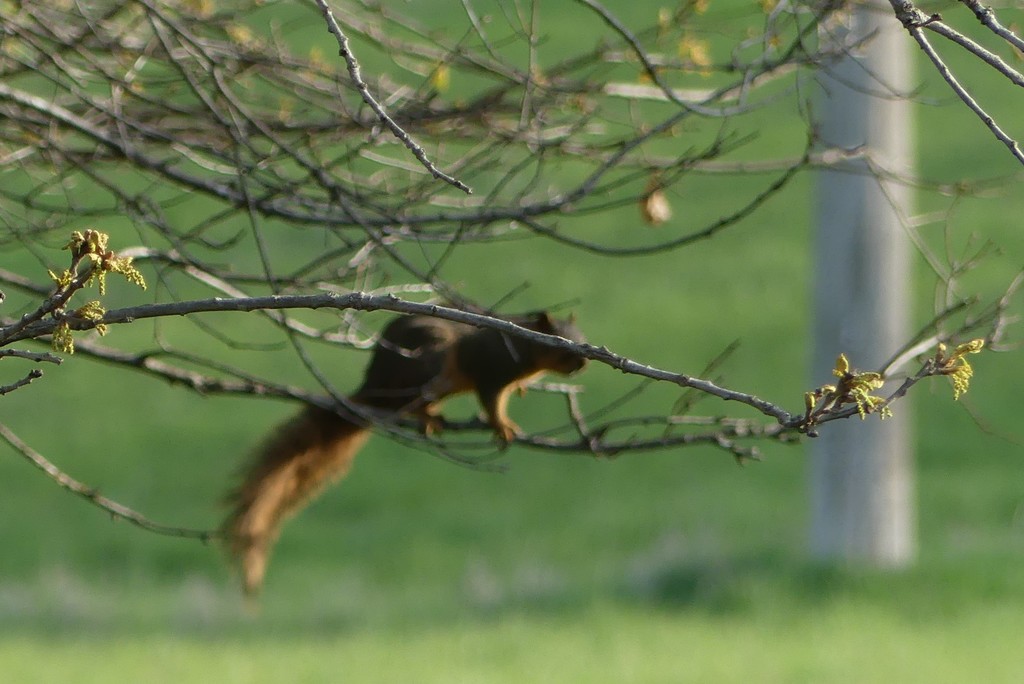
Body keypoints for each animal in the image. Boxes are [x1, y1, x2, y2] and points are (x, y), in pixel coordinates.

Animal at [222, 311, 587, 596]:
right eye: (559, 342)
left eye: (583, 339)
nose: (583, 362)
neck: (522, 347)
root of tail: (375, 386)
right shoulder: (490, 371)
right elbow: (492, 402)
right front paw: (502, 426)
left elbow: (509, 394)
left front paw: (519, 398)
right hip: (429, 360)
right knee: (412, 400)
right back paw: (426, 416)